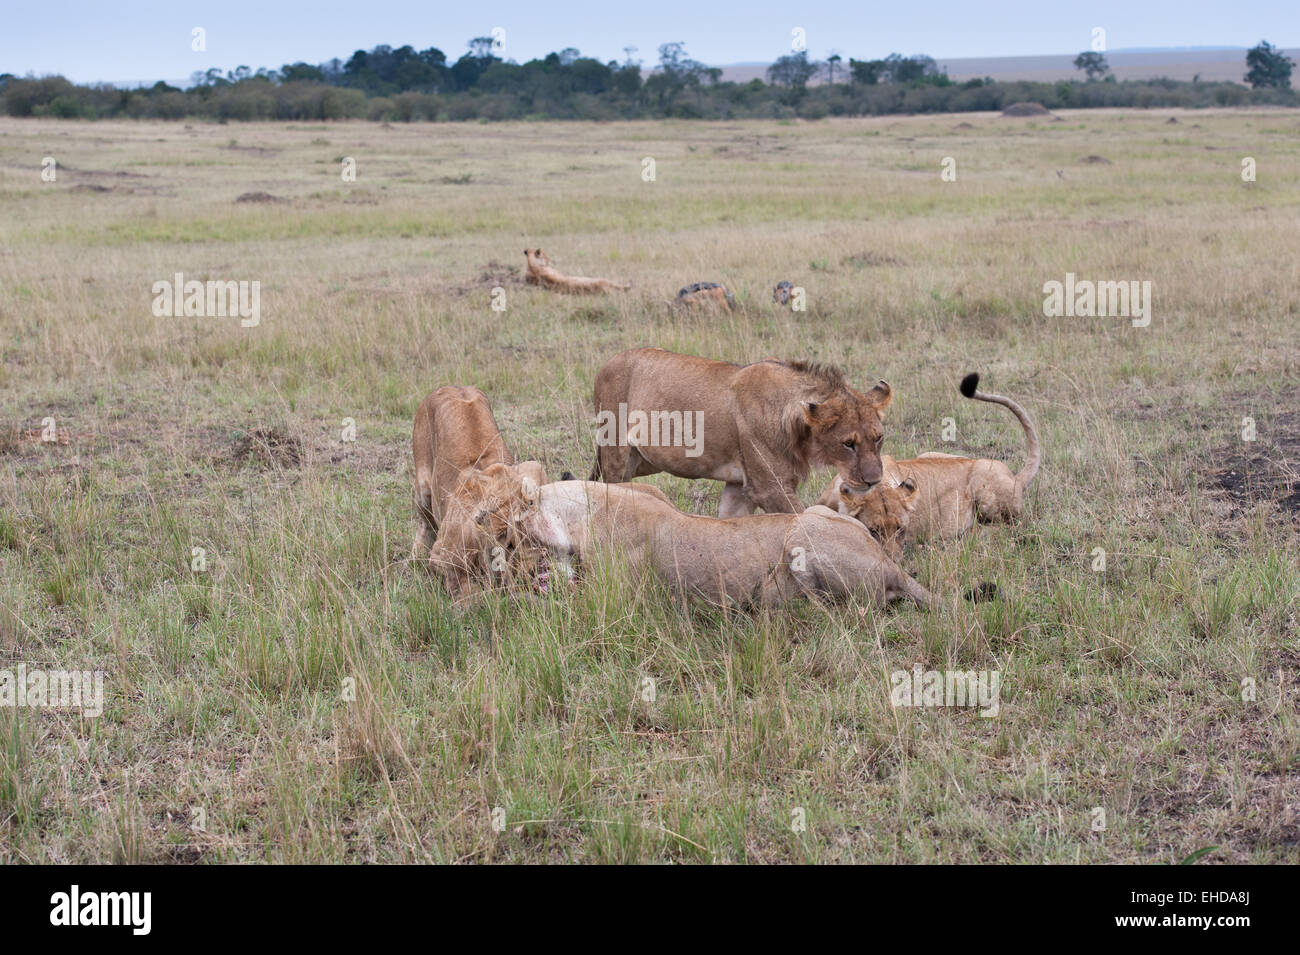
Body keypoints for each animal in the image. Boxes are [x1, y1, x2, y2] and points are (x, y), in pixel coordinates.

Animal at [411, 385, 547, 598]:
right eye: (511, 545)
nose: (534, 573)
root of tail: (451, 386)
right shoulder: (440, 556)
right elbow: (466, 588)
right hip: (423, 488)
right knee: (424, 523)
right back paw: (415, 555)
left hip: (534, 466)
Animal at [591, 347, 893, 517]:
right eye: (848, 444)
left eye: (878, 438)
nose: (874, 481)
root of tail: (607, 363)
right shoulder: (768, 488)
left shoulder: (741, 488)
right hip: (616, 458)